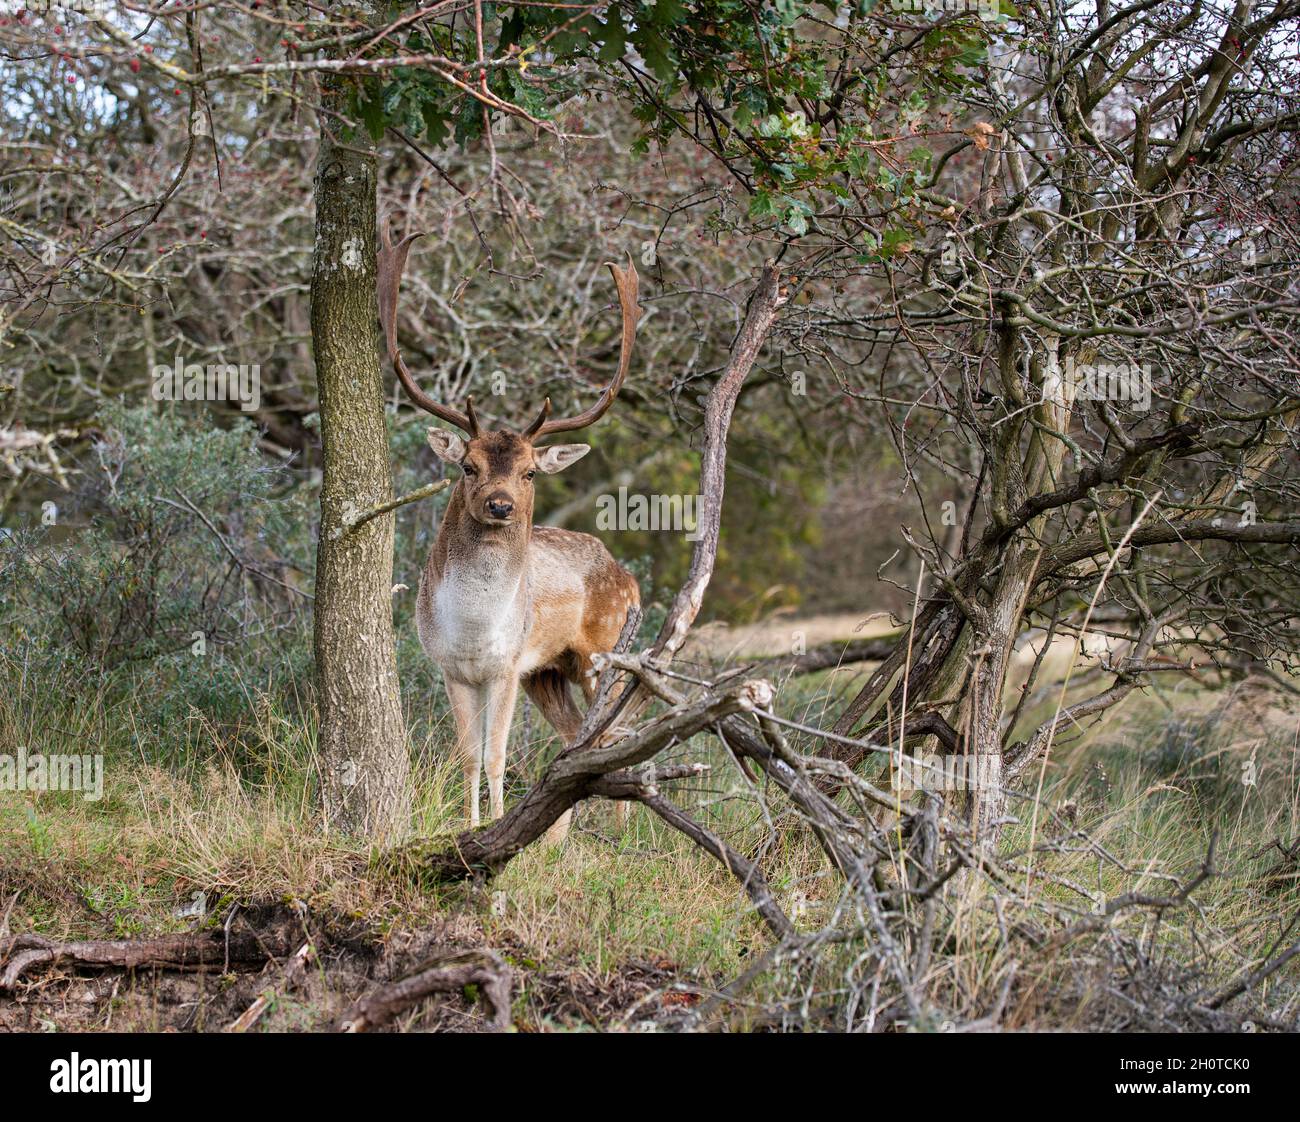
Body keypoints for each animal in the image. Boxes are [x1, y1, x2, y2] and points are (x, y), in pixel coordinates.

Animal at [376, 222, 642, 845]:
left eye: (529, 472)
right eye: (467, 465)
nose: (499, 505)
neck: (474, 630)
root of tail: (626, 575)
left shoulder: (504, 667)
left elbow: (496, 757)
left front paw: (496, 830)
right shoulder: (452, 667)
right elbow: (468, 757)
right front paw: (470, 827)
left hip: (603, 652)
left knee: (611, 734)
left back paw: (621, 835)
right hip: (547, 671)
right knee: (574, 738)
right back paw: (558, 837)